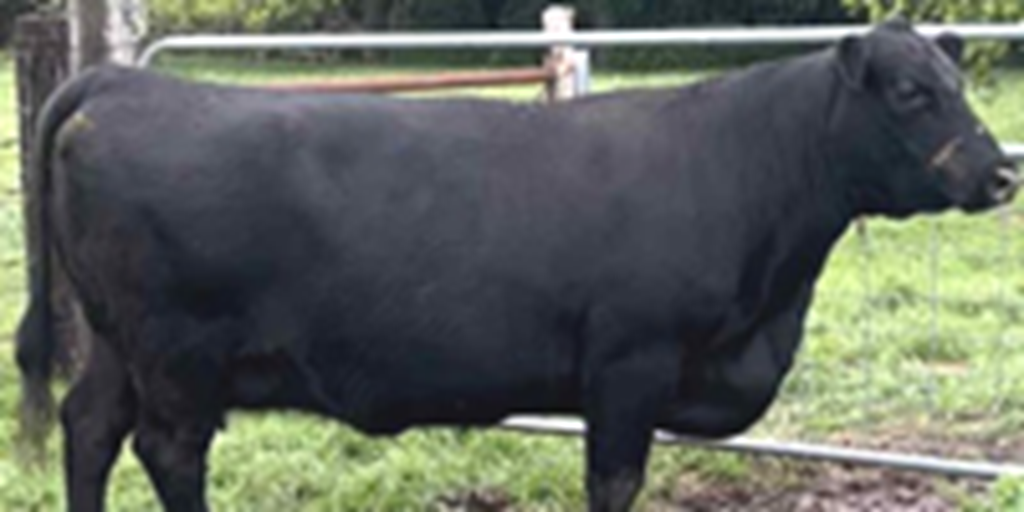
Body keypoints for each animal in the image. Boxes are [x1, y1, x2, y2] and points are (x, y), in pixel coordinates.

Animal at [14, 19, 1019, 512]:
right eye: (910, 91)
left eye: (957, 83)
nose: (1001, 170)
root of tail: (126, 79)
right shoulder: (629, 362)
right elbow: (613, 482)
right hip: (179, 353)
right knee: (167, 448)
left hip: (119, 344)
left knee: (88, 425)